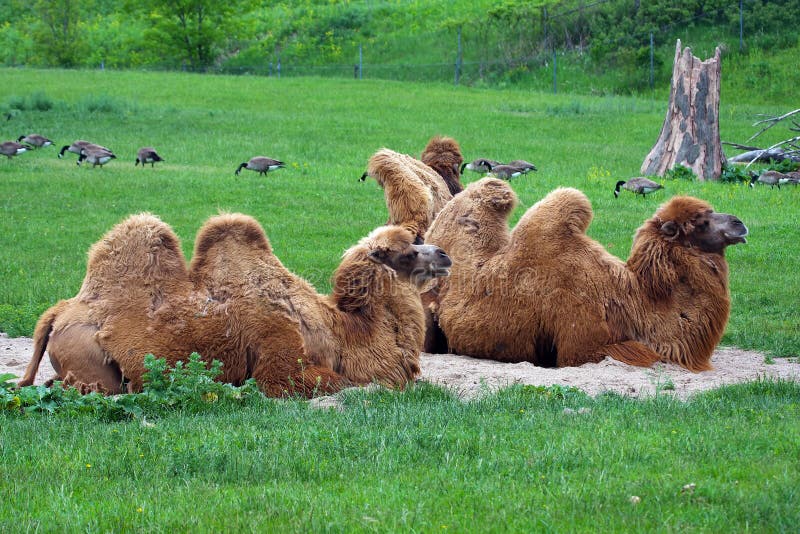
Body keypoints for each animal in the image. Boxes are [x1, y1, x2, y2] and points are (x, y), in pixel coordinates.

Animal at [19, 214, 451, 396]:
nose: (444, 255)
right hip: (91, 360)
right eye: (407, 252)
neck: (340, 331)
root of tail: (56, 313)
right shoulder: (279, 363)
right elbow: (338, 383)